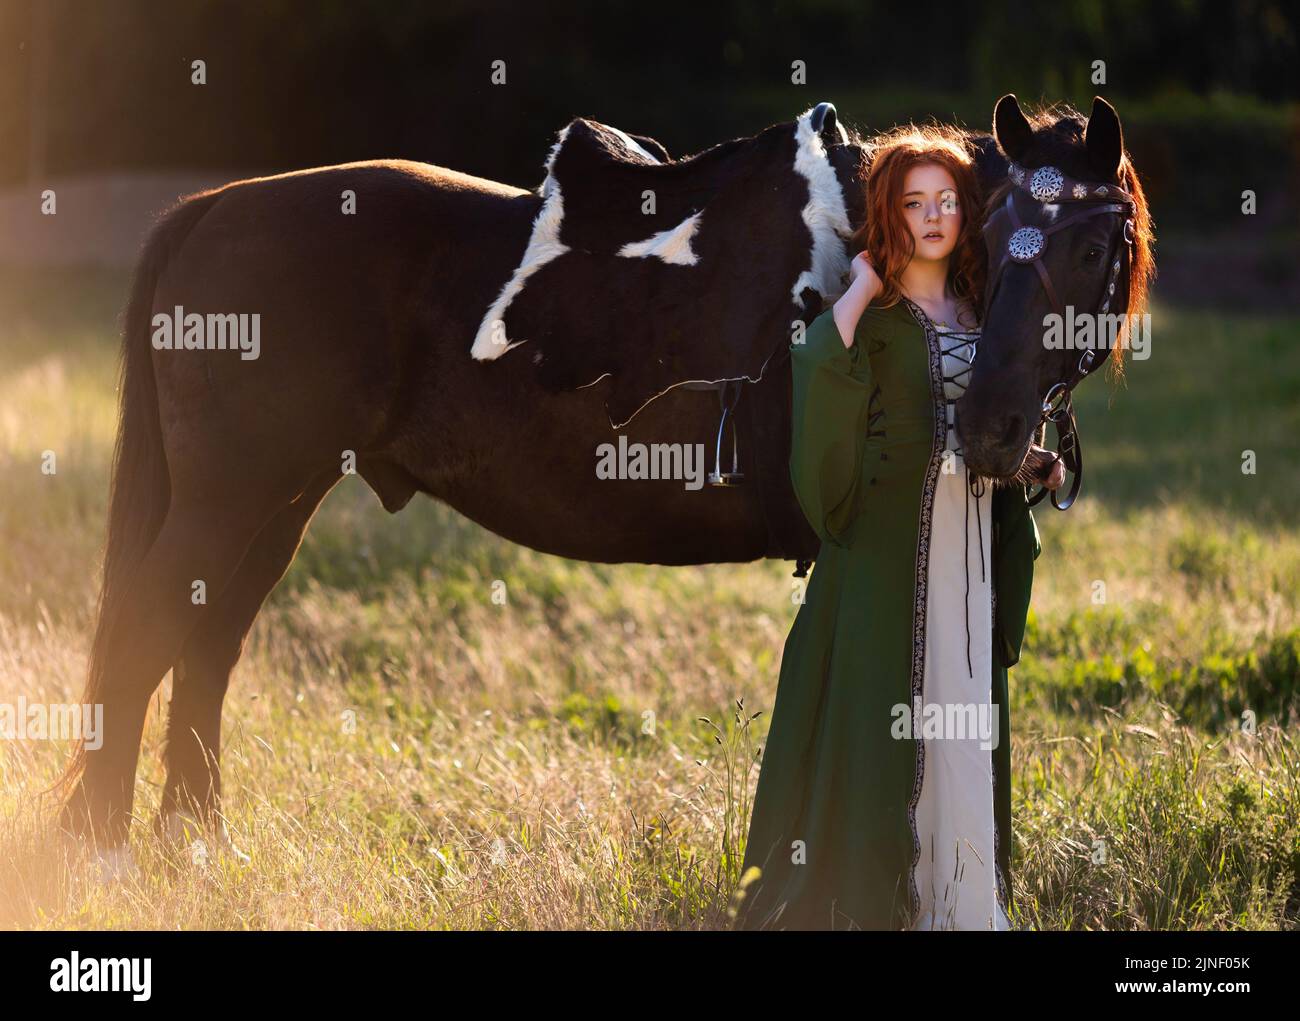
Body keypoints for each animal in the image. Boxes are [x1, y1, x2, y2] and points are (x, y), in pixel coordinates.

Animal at [55, 96, 1152, 872]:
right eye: (992, 229)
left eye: (1092, 244)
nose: (993, 426)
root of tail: (213, 207)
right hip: (226, 503)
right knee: (143, 635)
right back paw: (102, 850)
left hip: (274, 508)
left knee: (205, 650)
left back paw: (195, 844)